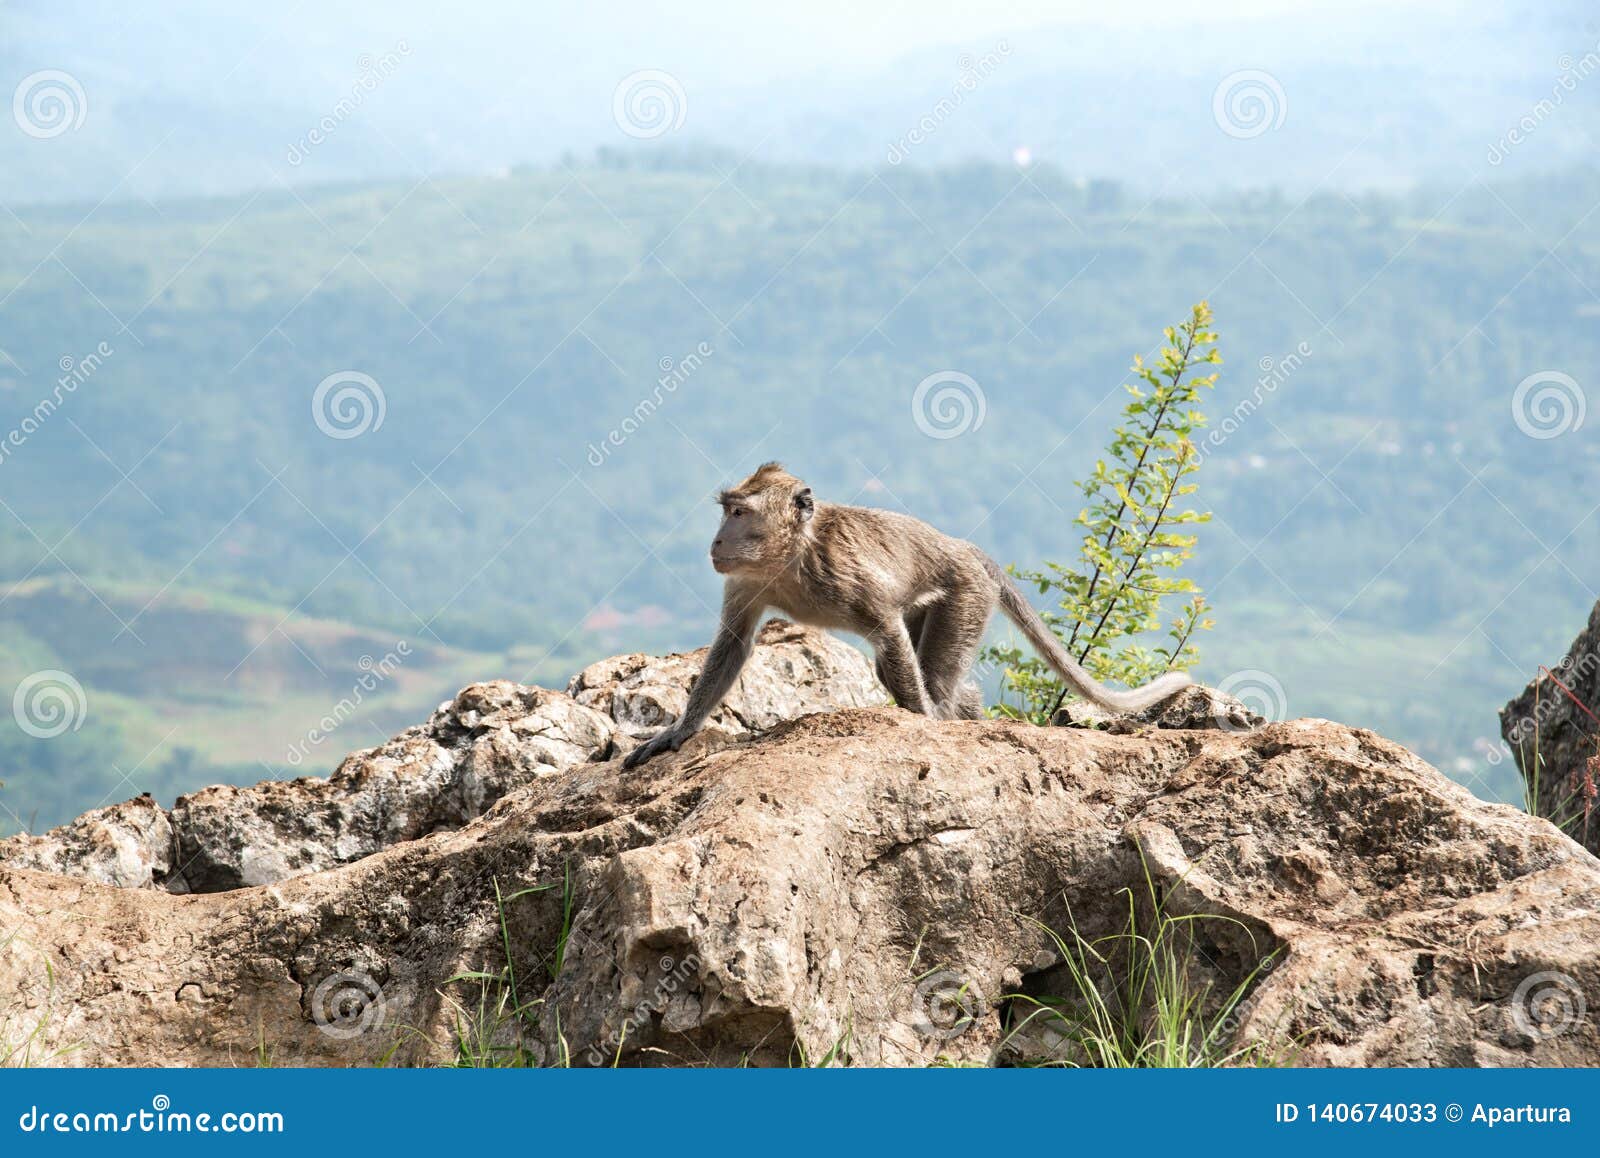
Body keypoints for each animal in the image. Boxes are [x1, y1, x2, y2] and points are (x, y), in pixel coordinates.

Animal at [623, 463, 1192, 768]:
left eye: (740, 513)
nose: (718, 542)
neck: (791, 555)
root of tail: (965, 548)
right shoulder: (745, 579)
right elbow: (734, 644)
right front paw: (675, 733)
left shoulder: (843, 574)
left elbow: (886, 631)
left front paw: (921, 724)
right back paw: (968, 711)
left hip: (964, 596)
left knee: (930, 670)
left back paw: (947, 712)